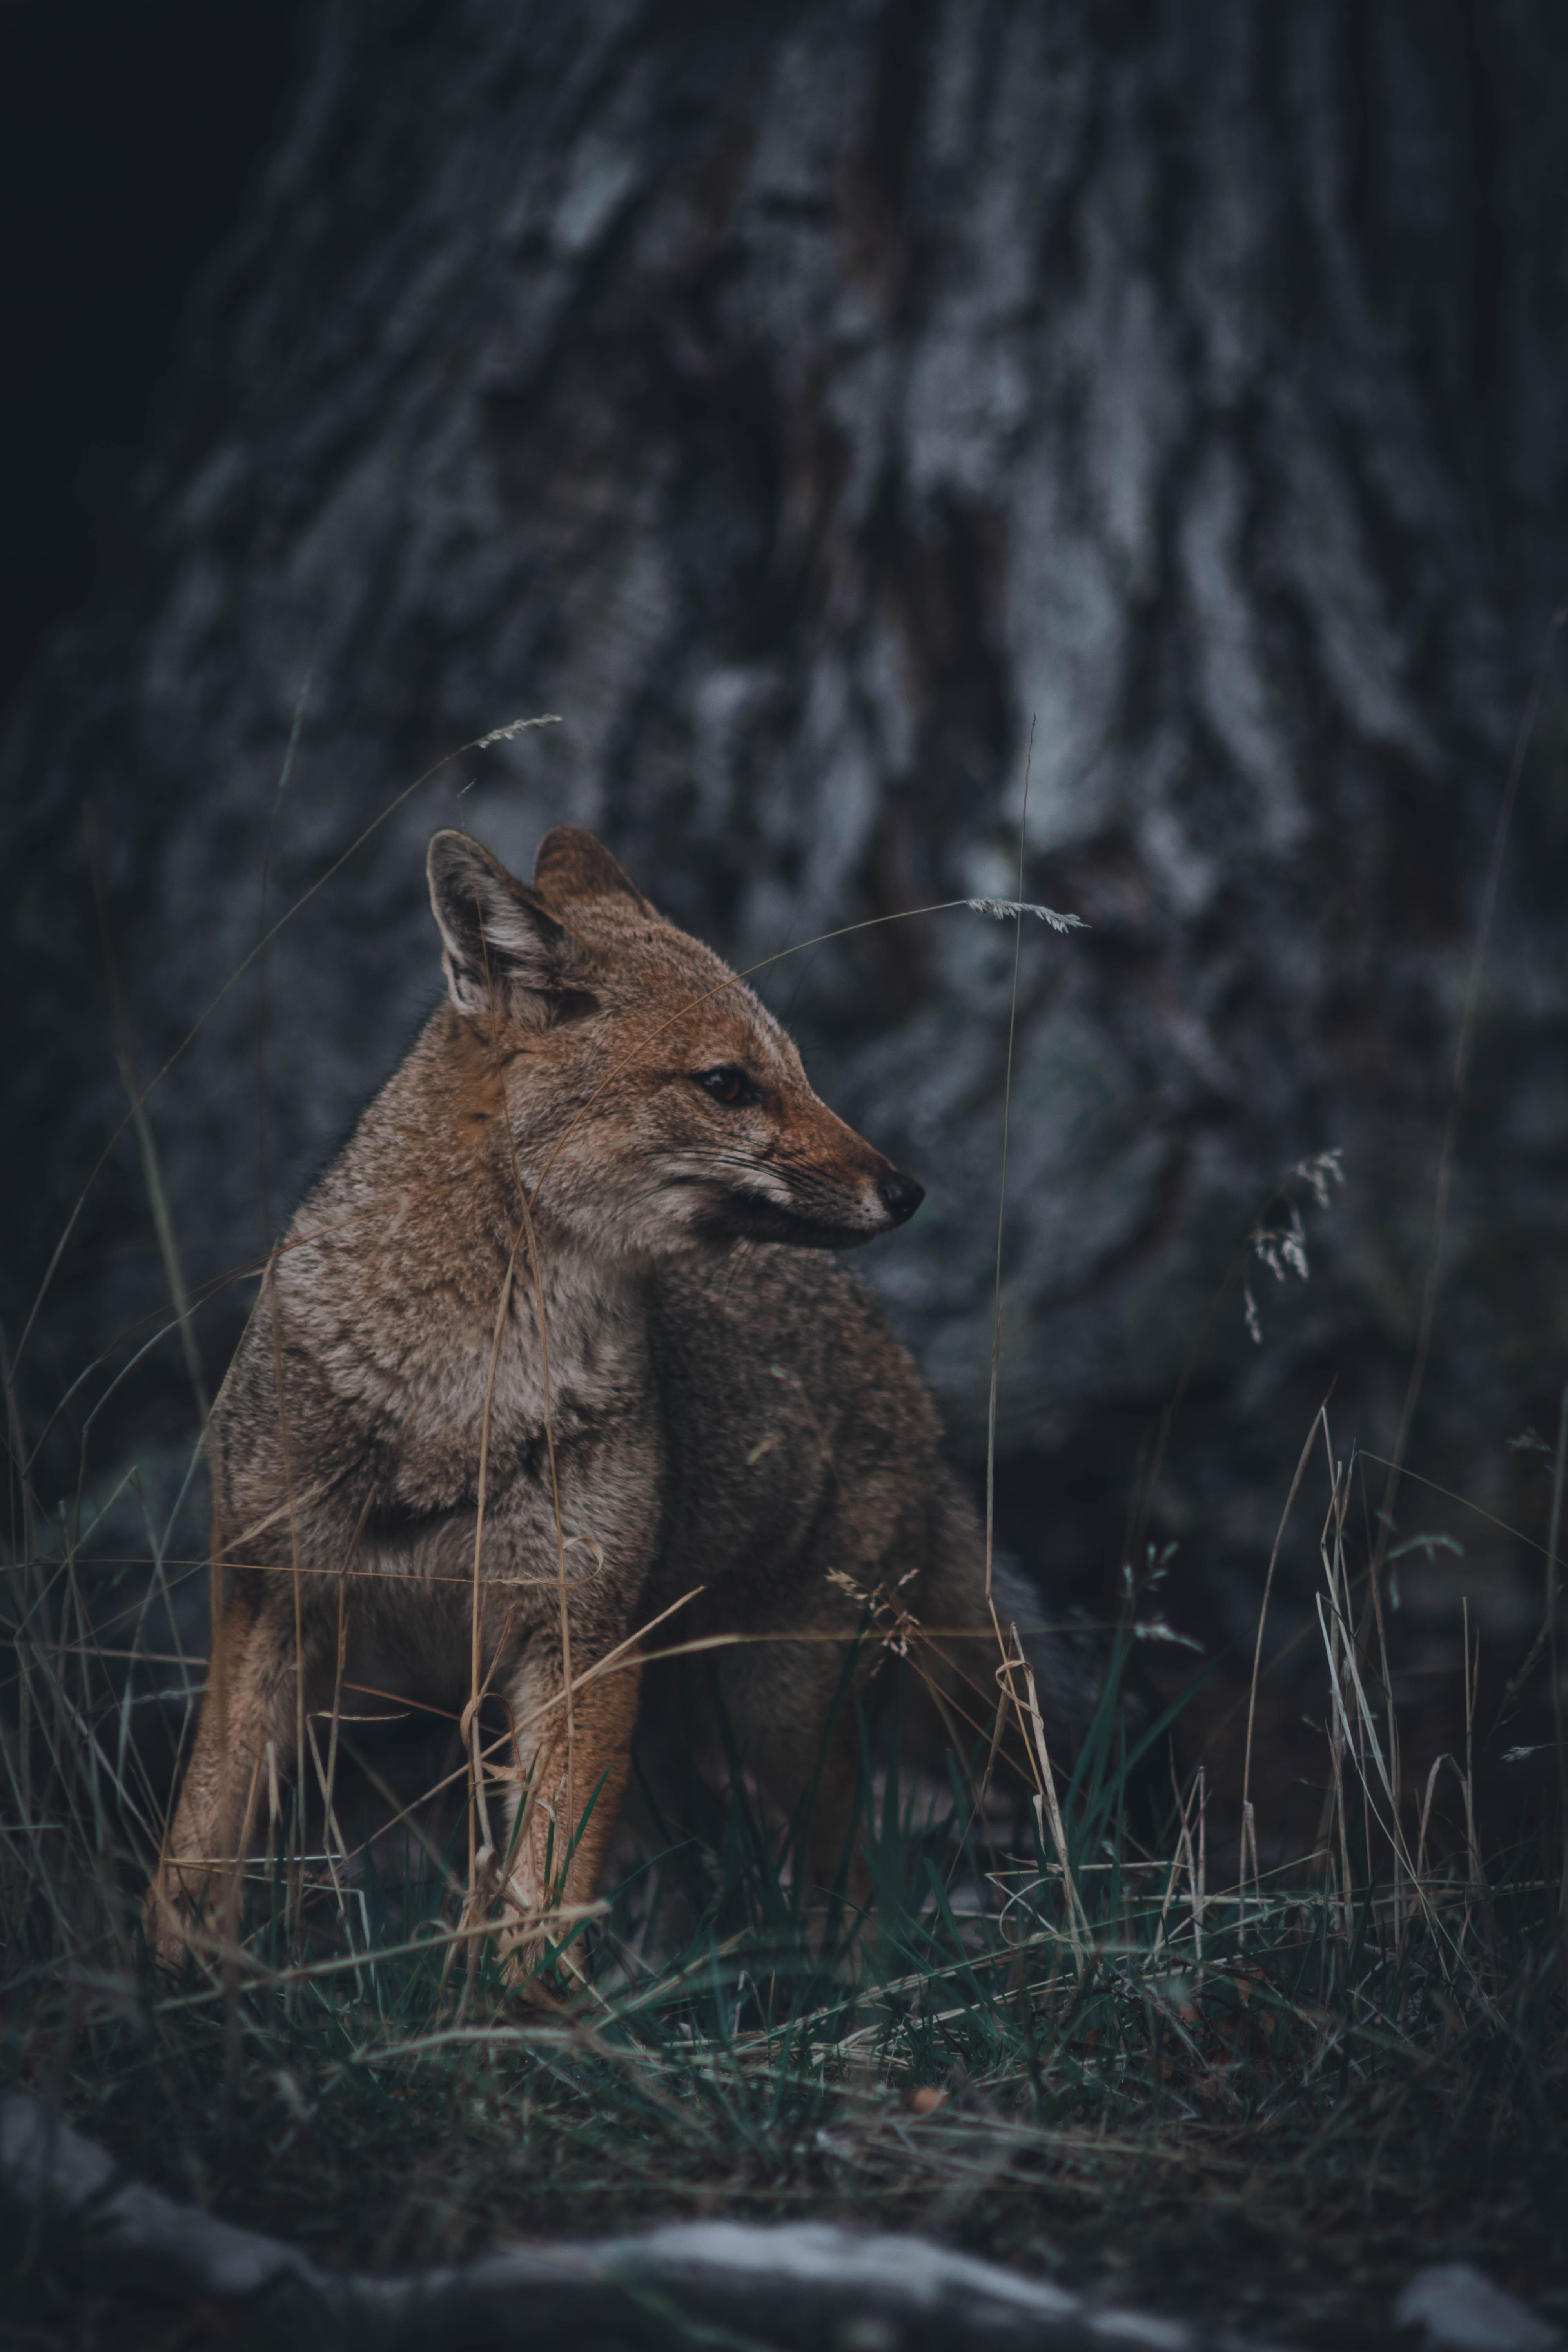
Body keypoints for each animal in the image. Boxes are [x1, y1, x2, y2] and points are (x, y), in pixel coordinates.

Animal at [146, 824, 1096, 1969]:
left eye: (798, 1072)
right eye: (729, 1084)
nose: (907, 1191)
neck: (457, 1403)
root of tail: (913, 1394)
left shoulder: (581, 1636)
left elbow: (542, 1899)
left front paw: (516, 2014)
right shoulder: (267, 1596)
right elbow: (197, 1849)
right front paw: (175, 1988)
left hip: (777, 1709)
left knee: (858, 1881)